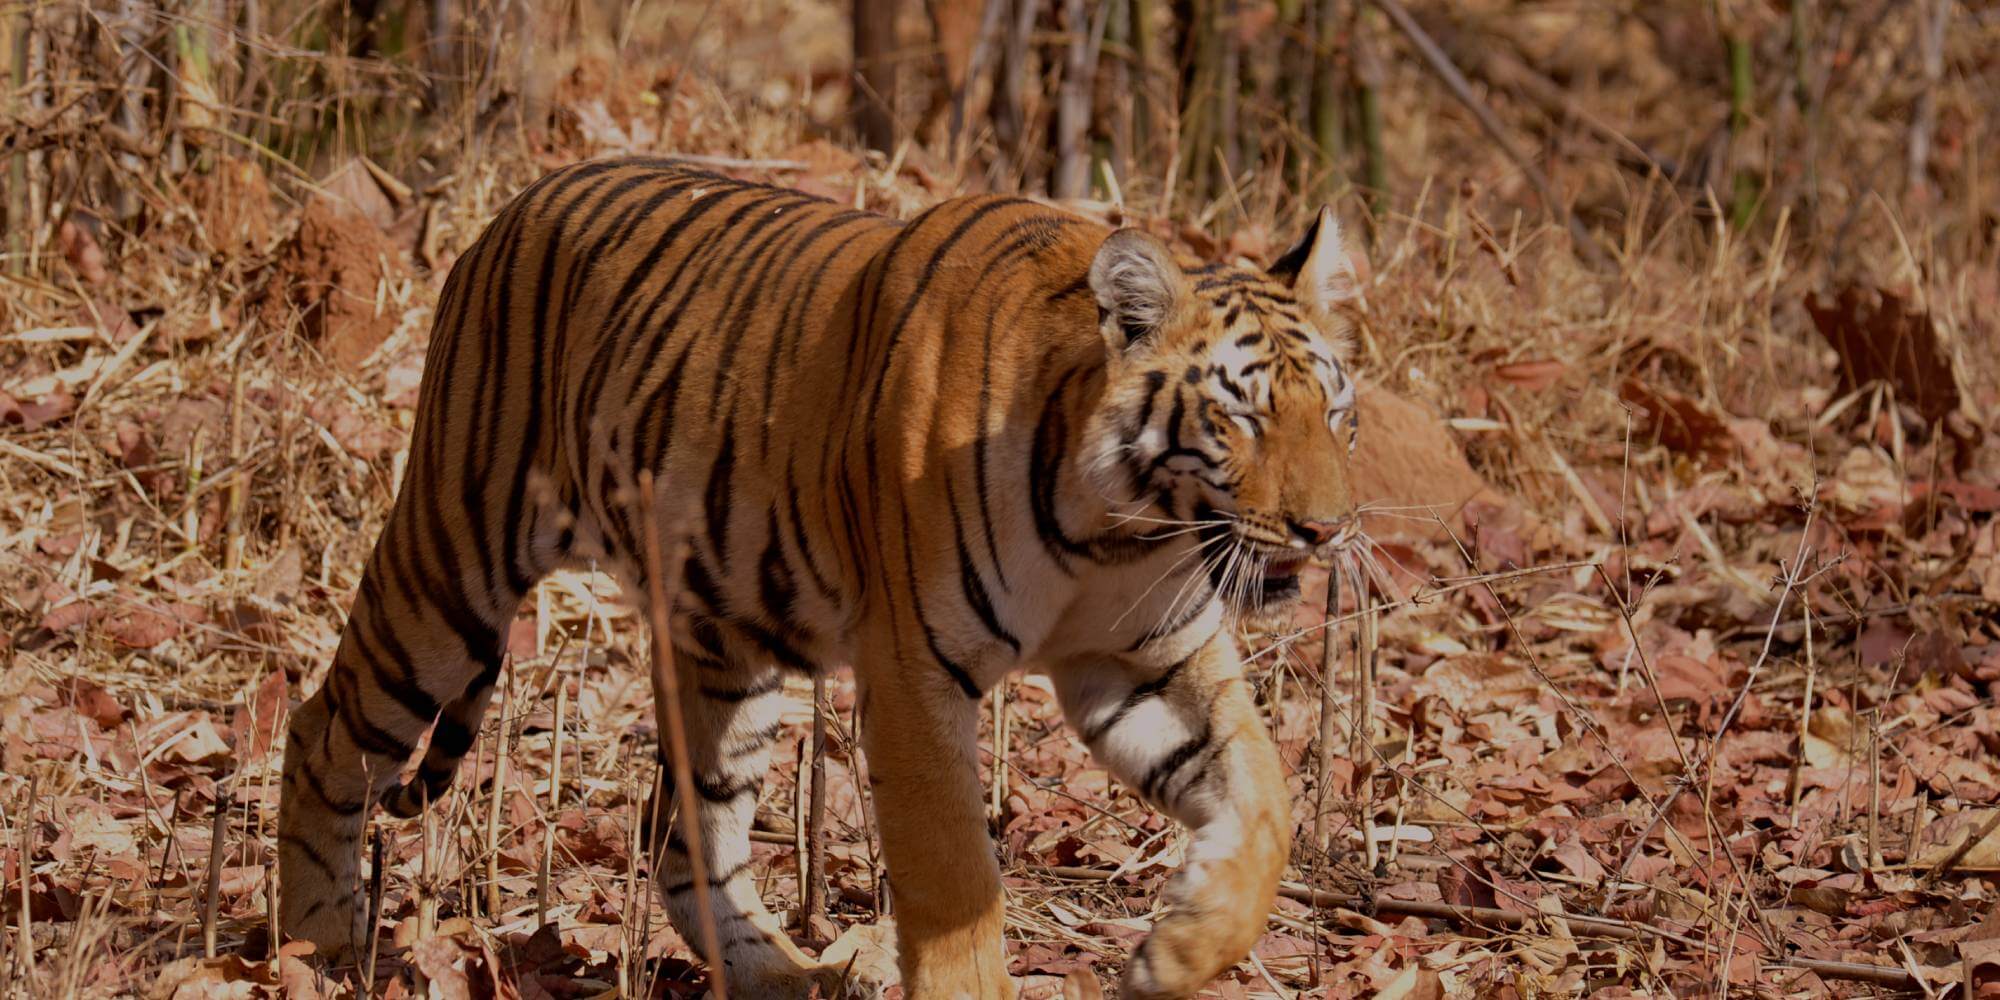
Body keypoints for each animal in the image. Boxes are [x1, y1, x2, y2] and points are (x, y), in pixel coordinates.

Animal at [278, 156, 1365, 999]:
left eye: (1335, 413)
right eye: (1240, 415)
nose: (1327, 527)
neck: (1119, 532)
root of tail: (518, 202)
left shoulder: (1143, 660)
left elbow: (1263, 800)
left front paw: (1176, 948)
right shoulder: (915, 673)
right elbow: (952, 876)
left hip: (725, 647)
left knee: (686, 837)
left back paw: (786, 974)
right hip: (450, 562)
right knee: (323, 729)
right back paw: (315, 942)